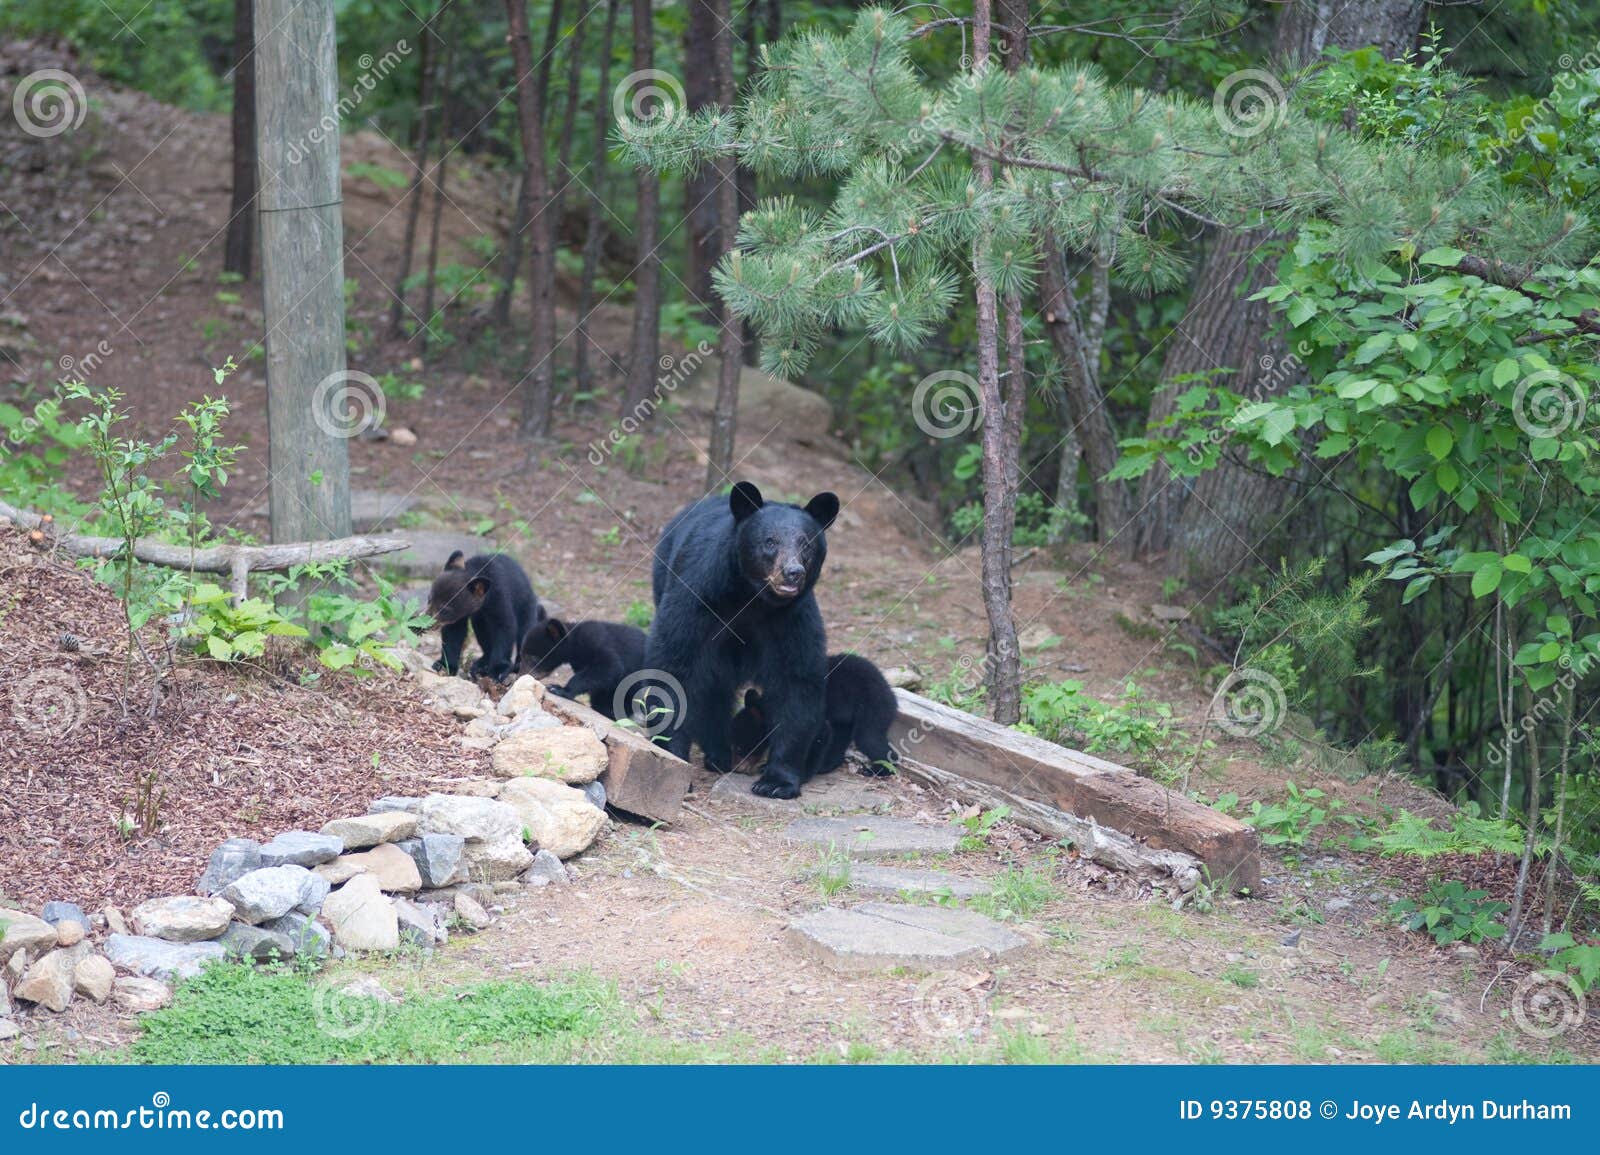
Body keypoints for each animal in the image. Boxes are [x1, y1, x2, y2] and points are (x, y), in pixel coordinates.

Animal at [426, 551, 542, 682]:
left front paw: (498, 670)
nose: (427, 622)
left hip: (526, 605)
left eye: (445, 610)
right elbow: (453, 633)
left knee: (525, 631)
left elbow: (505, 627)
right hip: (479, 620)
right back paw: (482, 664)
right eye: (429, 599)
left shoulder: (499, 595)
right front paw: (444, 665)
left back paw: (519, 664)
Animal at [518, 618, 647, 720]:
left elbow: (610, 667)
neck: (574, 645)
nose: (522, 674)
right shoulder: (578, 662)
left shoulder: (595, 642)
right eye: (521, 655)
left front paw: (558, 688)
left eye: (532, 657)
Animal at [645, 481, 839, 799]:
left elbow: (796, 683)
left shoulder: (792, 619)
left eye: (806, 544)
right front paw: (673, 766)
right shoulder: (699, 600)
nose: (793, 573)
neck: (752, 597)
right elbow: (674, 667)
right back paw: (718, 754)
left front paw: (777, 782)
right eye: (770, 541)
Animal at [731, 653, 901, 779]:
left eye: (740, 748)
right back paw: (828, 765)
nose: (737, 769)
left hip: (872, 706)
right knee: (840, 735)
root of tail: (890, 692)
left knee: (868, 738)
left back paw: (878, 770)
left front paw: (801, 774)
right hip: (846, 716)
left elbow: (819, 735)